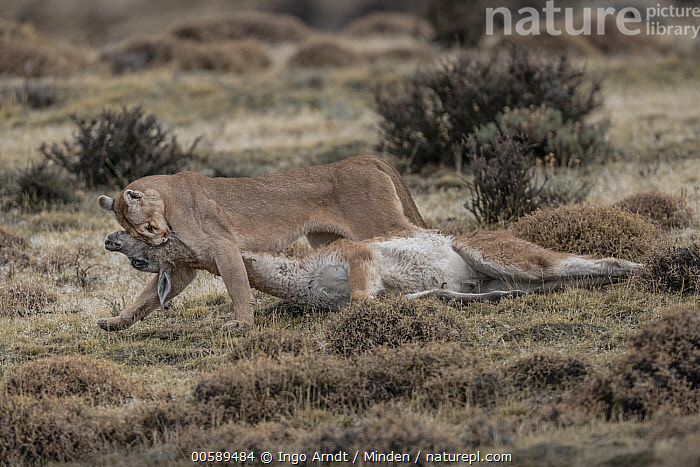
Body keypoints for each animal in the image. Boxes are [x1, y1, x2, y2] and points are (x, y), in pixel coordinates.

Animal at [97, 155, 426, 331]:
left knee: (420, 234)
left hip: (380, 223)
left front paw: (242, 323)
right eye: (139, 234)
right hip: (325, 237)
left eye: (148, 227)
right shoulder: (184, 266)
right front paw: (116, 321)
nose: (162, 239)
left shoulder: (224, 247)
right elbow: (146, 297)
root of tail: (366, 158)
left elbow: (237, 286)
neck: (168, 195)